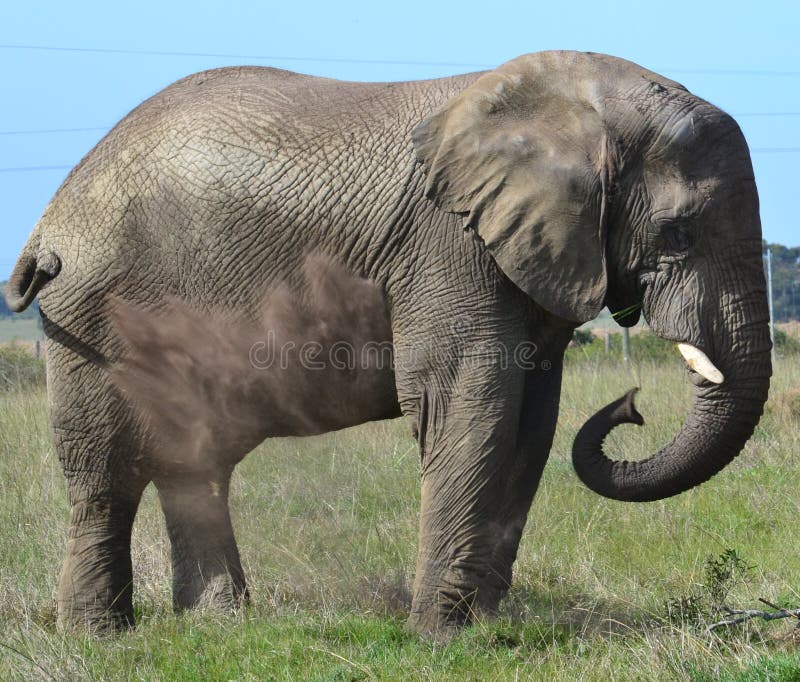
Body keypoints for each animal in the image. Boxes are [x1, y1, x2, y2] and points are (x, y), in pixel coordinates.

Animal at [5, 50, 771, 639]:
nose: (631, 406)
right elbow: (468, 404)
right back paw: (100, 636)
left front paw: (485, 627)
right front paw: (437, 637)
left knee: (194, 462)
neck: (576, 104)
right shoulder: (449, 246)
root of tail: (49, 220)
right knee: (106, 470)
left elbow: (531, 420)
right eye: (678, 233)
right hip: (96, 310)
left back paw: (218, 625)